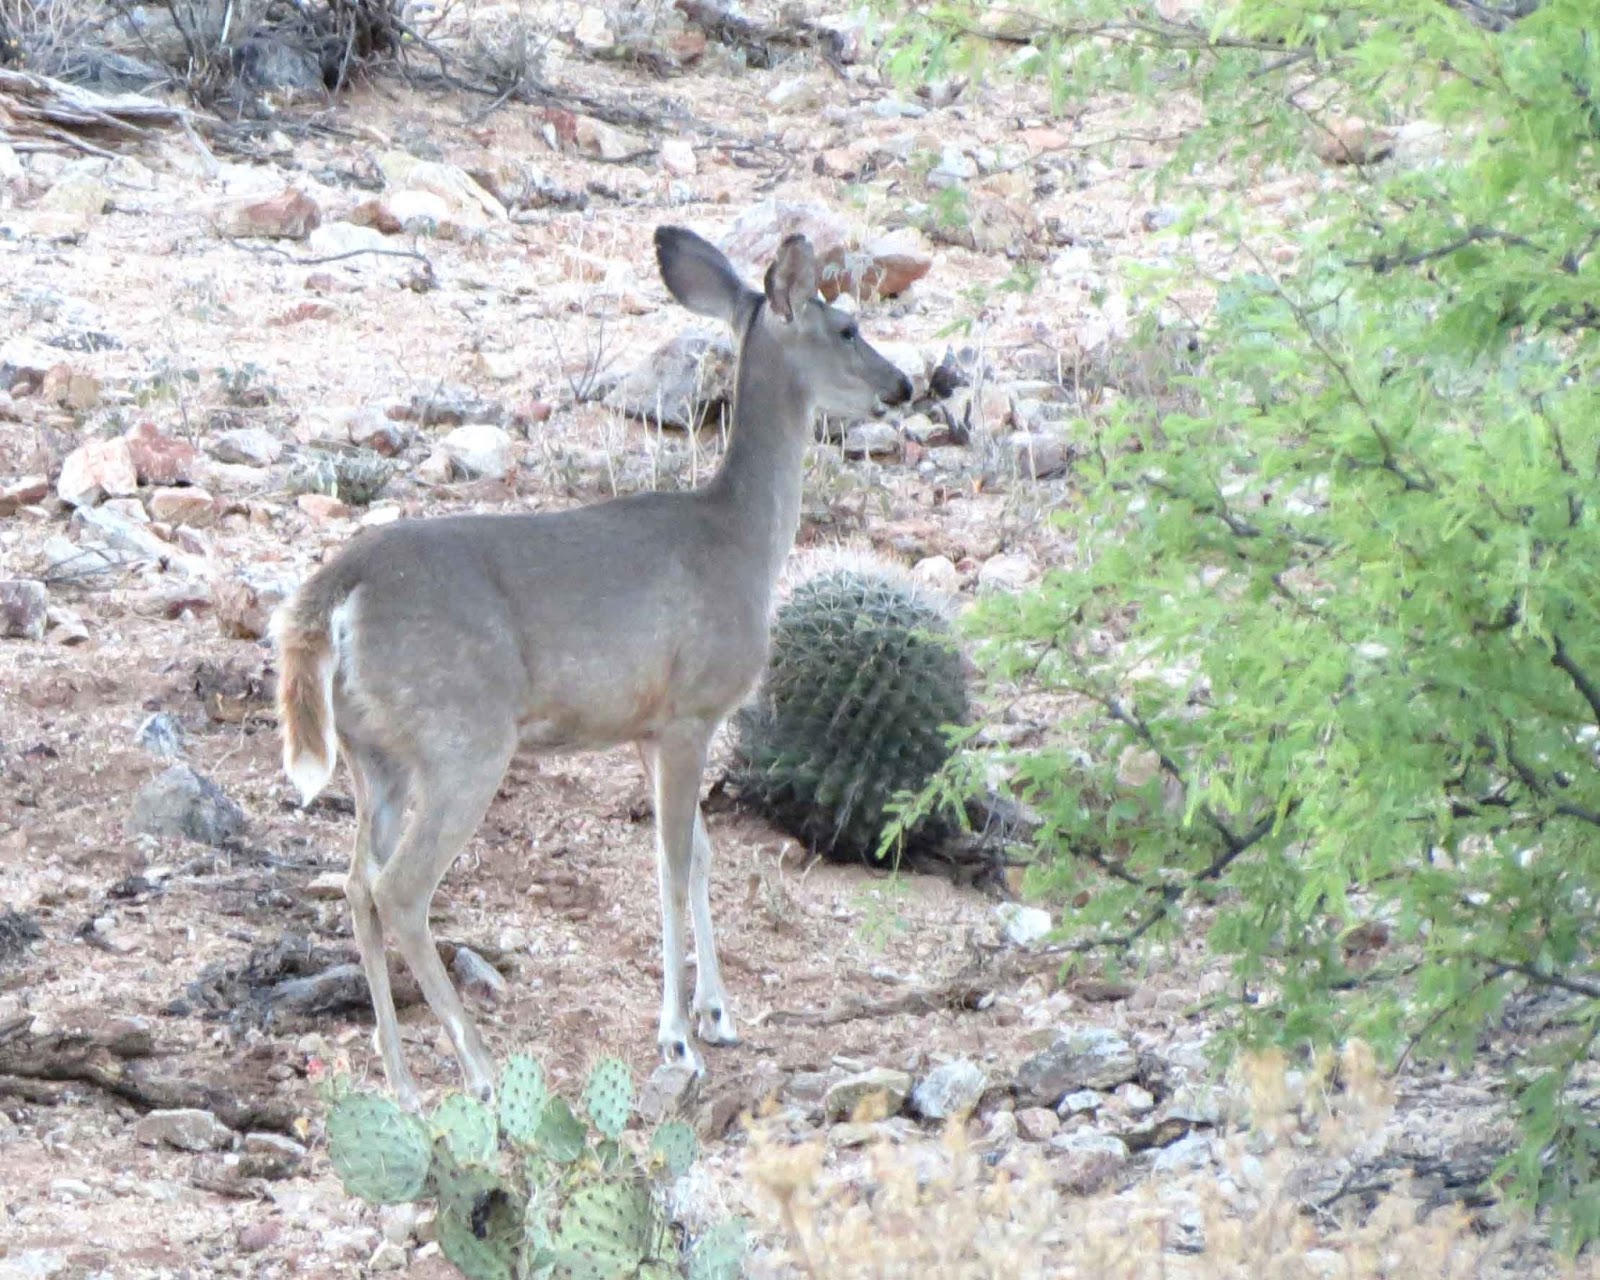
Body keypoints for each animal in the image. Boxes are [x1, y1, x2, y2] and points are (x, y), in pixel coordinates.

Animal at [271, 224, 914, 1107]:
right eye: (847, 328)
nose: (905, 386)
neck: (741, 538)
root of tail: (337, 590)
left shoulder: (648, 726)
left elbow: (700, 856)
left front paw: (719, 1015)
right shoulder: (690, 710)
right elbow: (671, 864)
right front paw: (678, 1039)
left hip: (375, 755)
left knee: (356, 884)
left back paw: (400, 1082)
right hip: (461, 736)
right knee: (400, 888)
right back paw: (481, 1070)